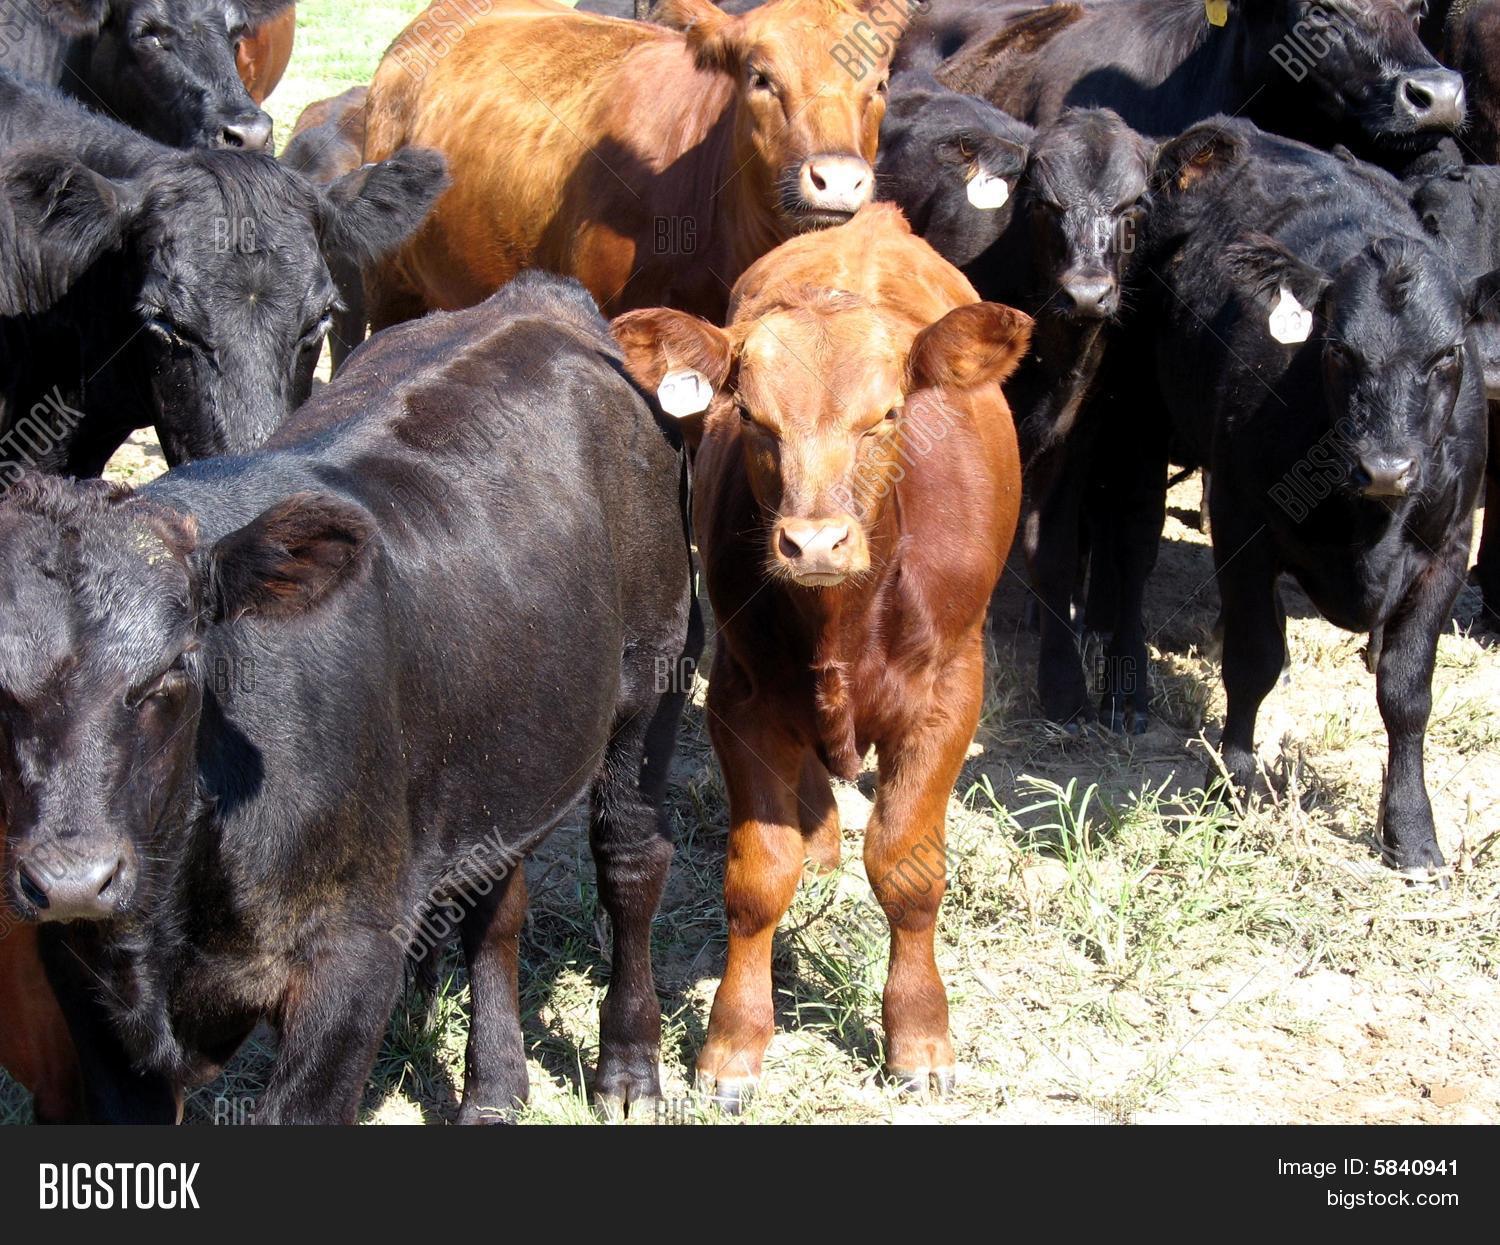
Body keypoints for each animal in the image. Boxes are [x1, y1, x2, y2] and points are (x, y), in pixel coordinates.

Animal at [0, 269, 698, 1124]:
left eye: (173, 669)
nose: (72, 878)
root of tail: (538, 299)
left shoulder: (351, 959)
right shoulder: (83, 985)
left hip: (651, 685)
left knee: (630, 861)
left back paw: (628, 1069)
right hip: (501, 740)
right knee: (495, 902)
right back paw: (495, 1088)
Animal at [613, 203, 1030, 1108]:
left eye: (887, 416)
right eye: (755, 420)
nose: (813, 543)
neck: (847, 618)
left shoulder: (952, 696)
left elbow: (907, 869)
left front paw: (918, 1032)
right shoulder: (739, 696)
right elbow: (756, 878)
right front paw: (734, 1043)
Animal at [1097, 117, 1494, 879]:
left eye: (1448, 356)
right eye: (1337, 351)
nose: (1387, 466)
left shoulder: (1450, 547)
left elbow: (1407, 691)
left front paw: (1411, 831)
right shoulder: (1242, 521)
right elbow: (1254, 659)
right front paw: (1239, 778)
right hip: (1135, 414)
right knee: (1130, 550)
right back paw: (1124, 693)